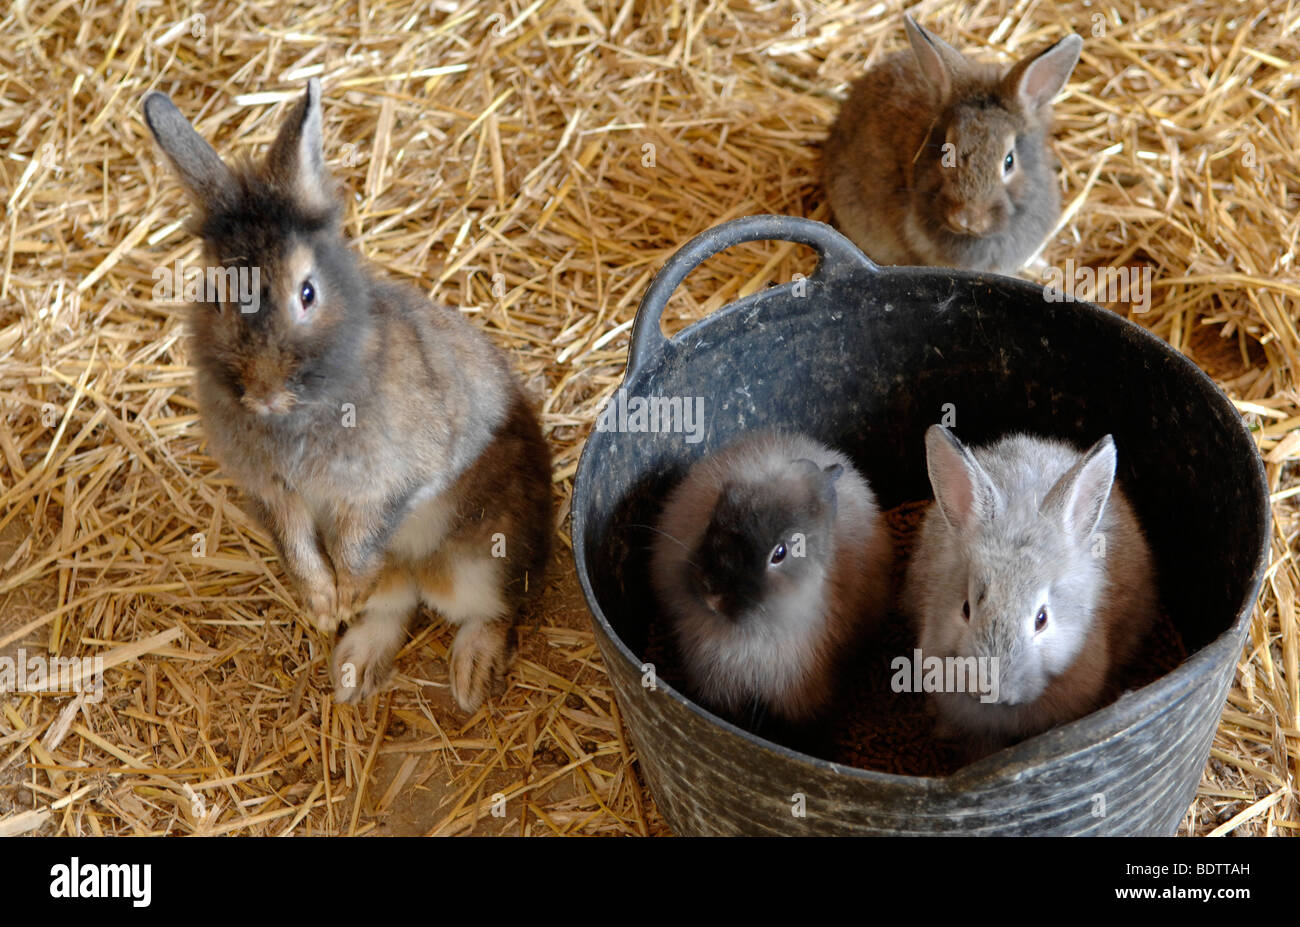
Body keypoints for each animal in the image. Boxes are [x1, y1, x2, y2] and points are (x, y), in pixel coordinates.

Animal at [142, 79, 552, 712]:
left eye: (308, 292)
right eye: (217, 294)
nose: (263, 389)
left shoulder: (392, 483)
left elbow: (360, 543)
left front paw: (344, 593)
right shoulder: (276, 495)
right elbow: (300, 550)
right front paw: (325, 605)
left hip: (482, 559)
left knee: (495, 612)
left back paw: (469, 678)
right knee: (393, 610)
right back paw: (352, 670)